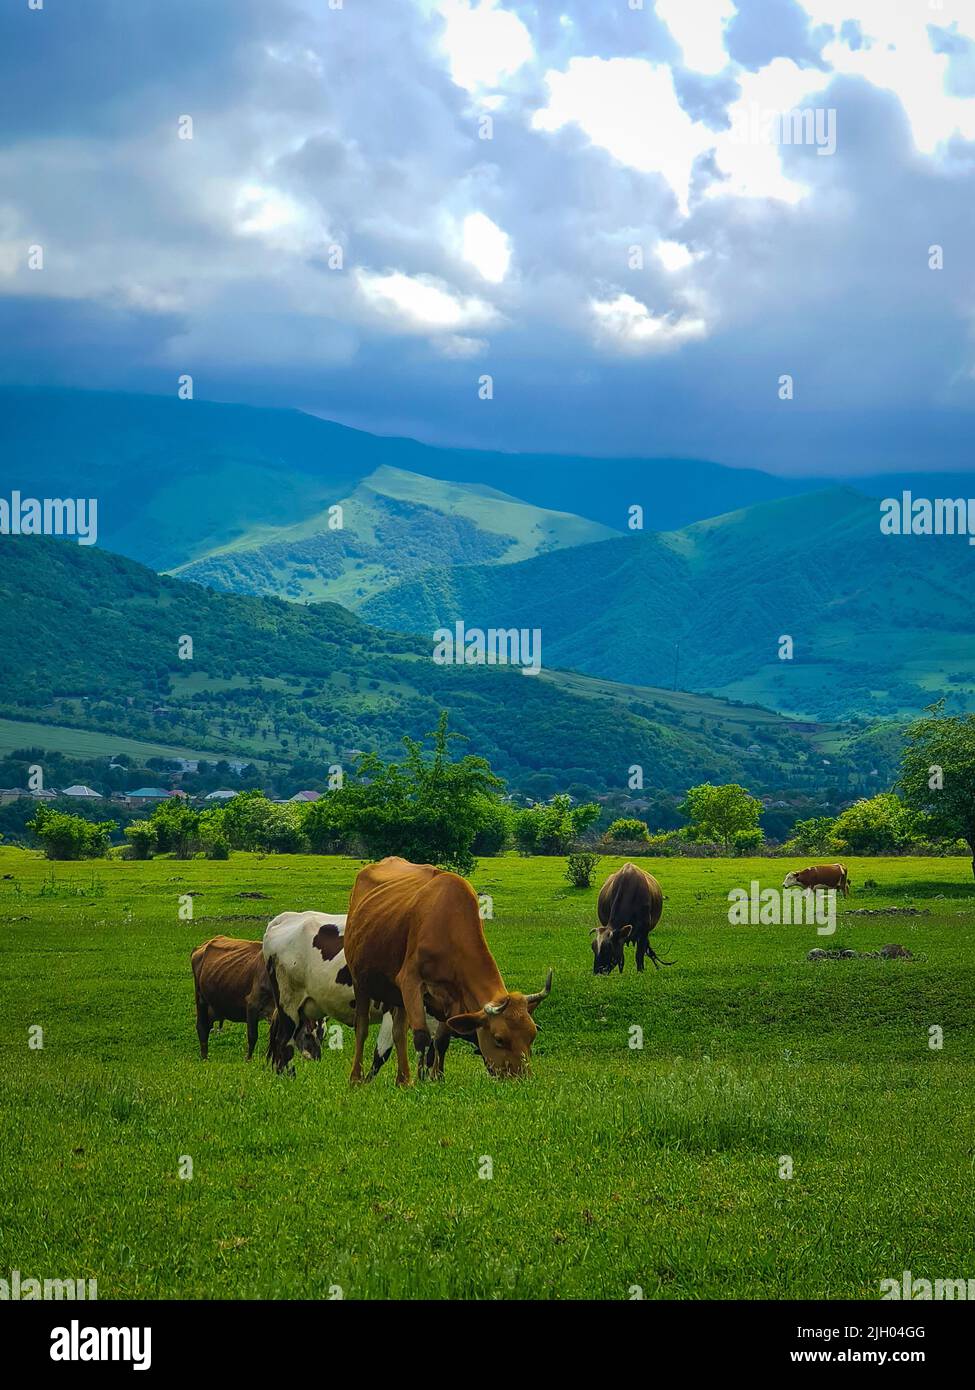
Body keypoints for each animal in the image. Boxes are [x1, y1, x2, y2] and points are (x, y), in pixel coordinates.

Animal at [191, 935, 323, 1062]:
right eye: (308, 1034)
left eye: (322, 1035)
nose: (317, 1057)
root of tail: (201, 947)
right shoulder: (252, 1004)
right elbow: (252, 1035)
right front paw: (248, 1060)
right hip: (200, 998)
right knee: (202, 1027)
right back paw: (204, 1058)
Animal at [262, 910, 443, 1077]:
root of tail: (287, 917)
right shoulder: (392, 1009)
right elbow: (382, 1053)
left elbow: (434, 1047)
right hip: (288, 1003)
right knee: (284, 1042)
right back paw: (288, 1077)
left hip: (301, 1010)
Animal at [344, 857, 552, 1086]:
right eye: (499, 1039)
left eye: (532, 1035)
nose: (523, 1079)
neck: (448, 923)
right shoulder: (410, 981)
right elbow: (421, 1036)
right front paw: (422, 1080)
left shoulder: (451, 997)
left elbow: (442, 1040)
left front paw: (437, 1078)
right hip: (360, 981)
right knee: (362, 1028)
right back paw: (356, 1077)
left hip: (396, 994)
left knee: (398, 1032)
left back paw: (403, 1080)